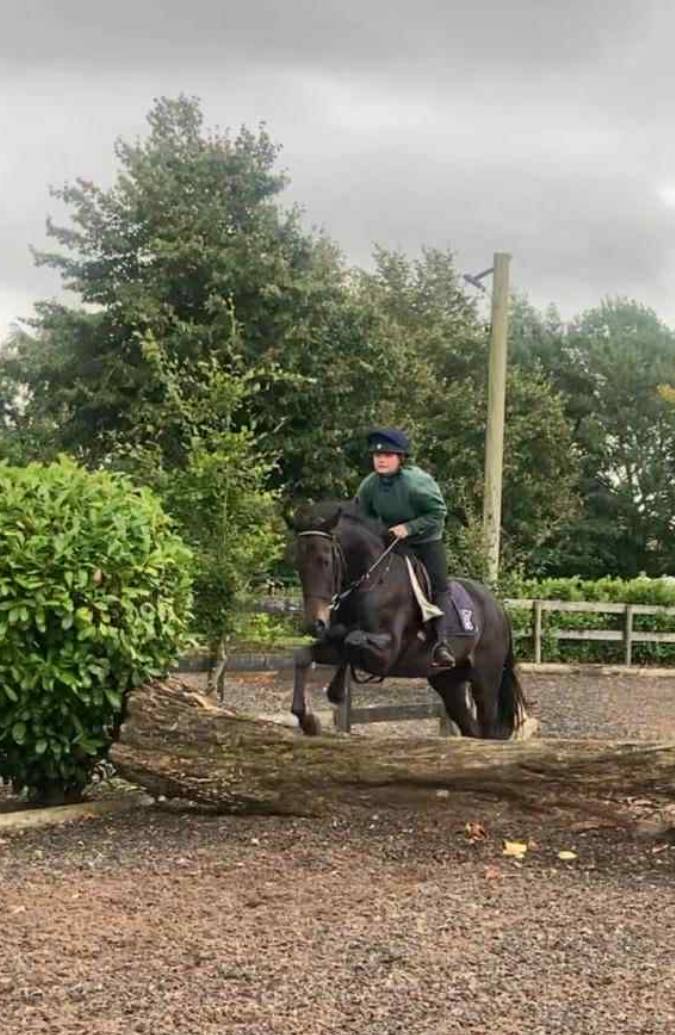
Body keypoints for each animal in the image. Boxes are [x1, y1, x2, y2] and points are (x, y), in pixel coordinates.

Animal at [291, 501, 526, 739]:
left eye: (325, 562)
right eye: (298, 564)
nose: (314, 623)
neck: (373, 580)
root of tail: (498, 606)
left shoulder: (386, 654)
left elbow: (352, 639)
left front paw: (335, 692)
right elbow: (305, 655)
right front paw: (308, 720)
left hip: (485, 679)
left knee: (488, 726)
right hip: (449, 682)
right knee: (470, 727)